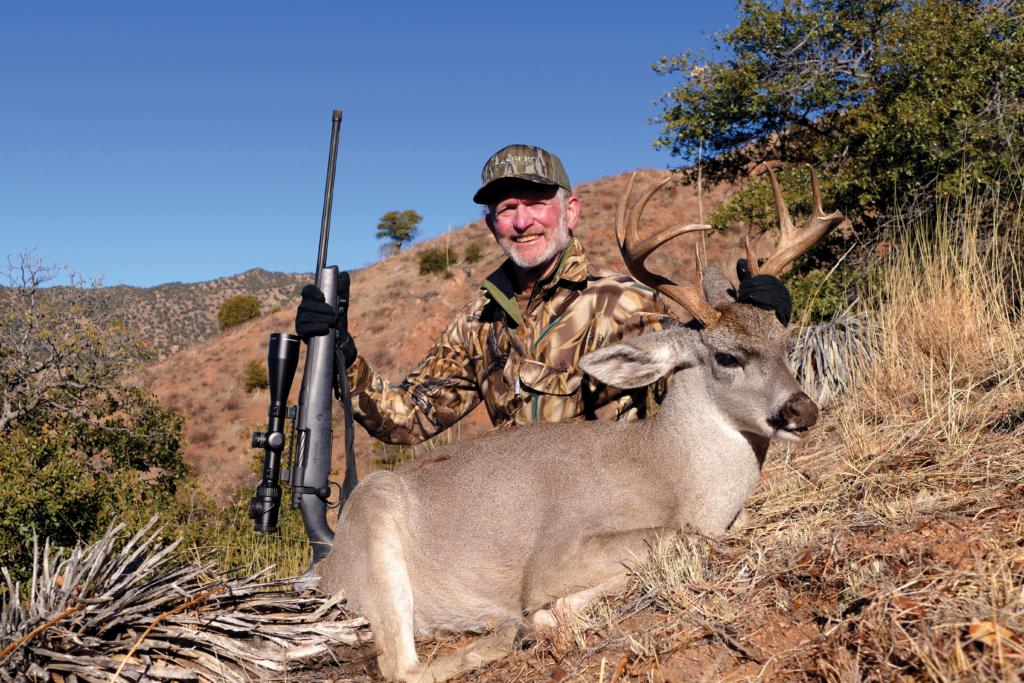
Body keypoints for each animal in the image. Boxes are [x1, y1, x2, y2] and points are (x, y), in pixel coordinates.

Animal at [314, 166, 845, 683]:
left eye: (784, 342)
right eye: (727, 356)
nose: (802, 409)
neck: (669, 467)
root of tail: (326, 574)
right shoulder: (557, 553)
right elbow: (677, 536)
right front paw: (548, 613)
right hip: (374, 531)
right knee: (399, 666)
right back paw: (509, 635)